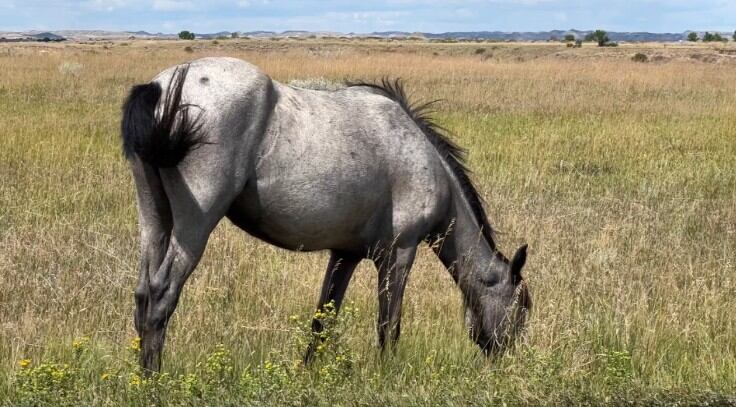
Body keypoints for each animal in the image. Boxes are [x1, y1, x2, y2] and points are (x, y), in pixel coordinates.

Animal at [121, 57, 531, 372]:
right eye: (522, 309)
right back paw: (155, 381)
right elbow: (388, 323)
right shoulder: (399, 254)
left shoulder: (344, 255)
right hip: (195, 223)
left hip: (154, 217)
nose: (508, 363)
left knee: (143, 294)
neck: (423, 160)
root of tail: (159, 87)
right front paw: (387, 374)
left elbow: (323, 319)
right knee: (161, 295)